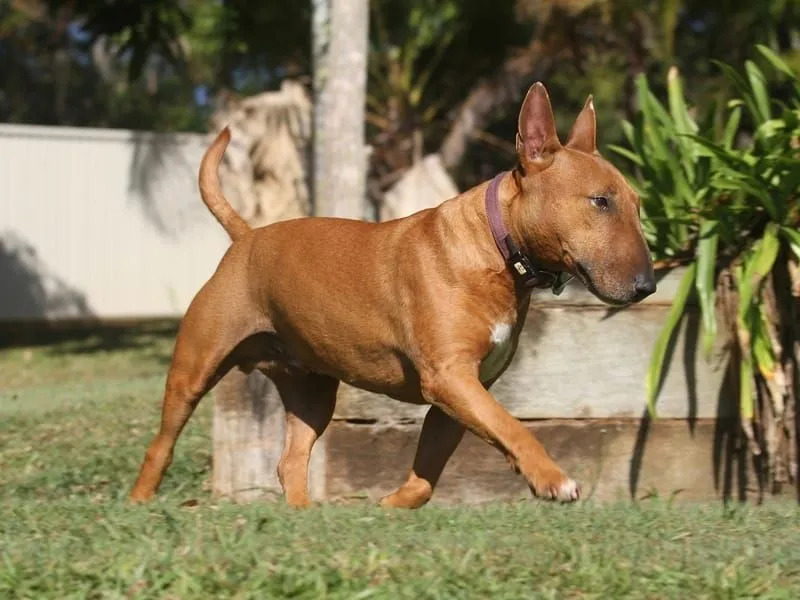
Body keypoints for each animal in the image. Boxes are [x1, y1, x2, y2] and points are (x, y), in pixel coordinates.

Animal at [131, 82, 652, 508]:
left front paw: (389, 506)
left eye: (636, 204)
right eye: (600, 201)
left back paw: (303, 518)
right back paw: (139, 503)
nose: (647, 285)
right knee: (162, 444)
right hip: (194, 367)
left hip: (312, 392)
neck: (495, 247)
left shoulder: (462, 394)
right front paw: (552, 479)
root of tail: (246, 236)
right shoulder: (450, 379)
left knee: (291, 459)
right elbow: (512, 428)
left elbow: (427, 479)